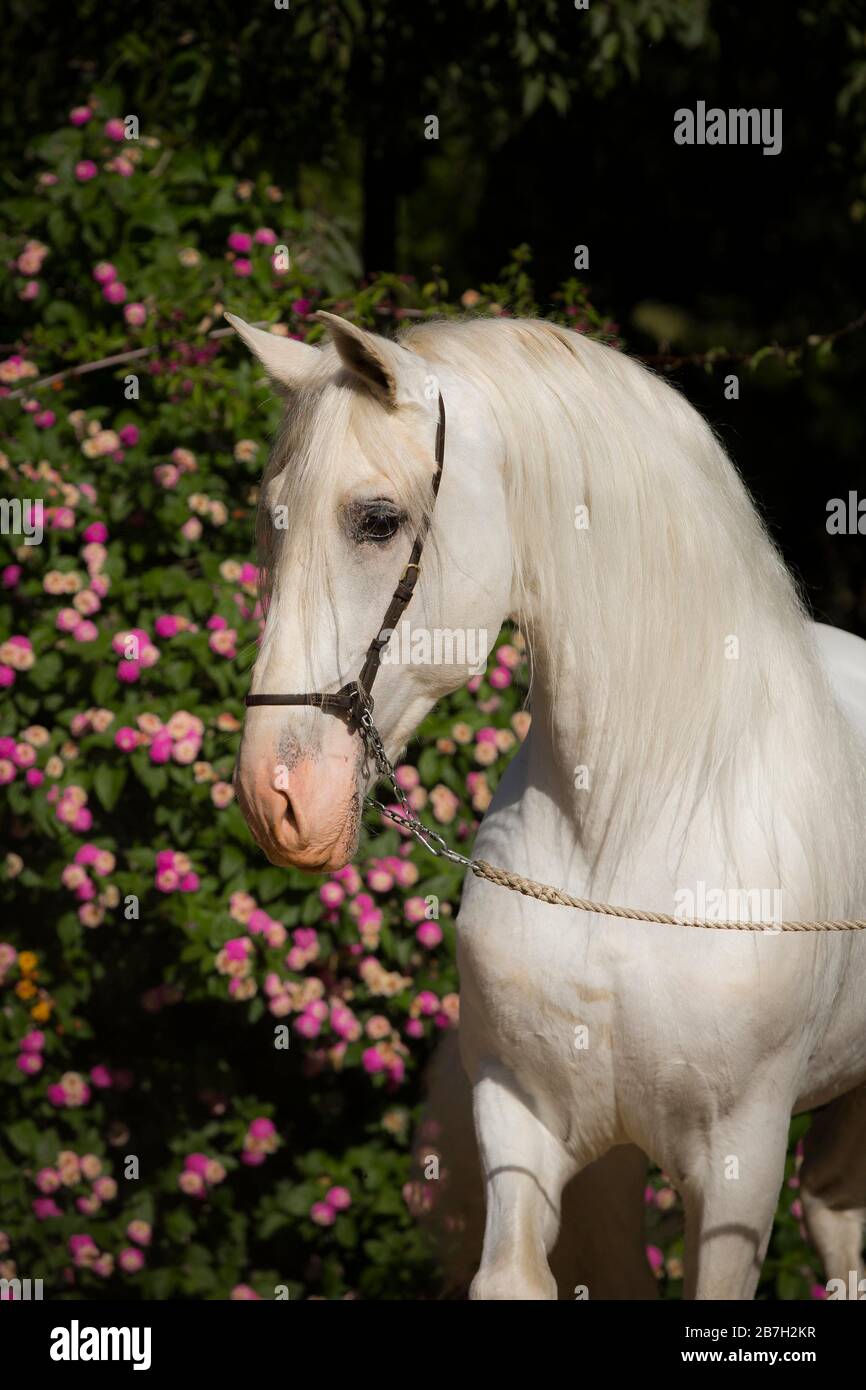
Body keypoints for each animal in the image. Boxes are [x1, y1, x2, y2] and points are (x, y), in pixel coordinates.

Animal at [230, 308, 866, 1300]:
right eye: (271, 521)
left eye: (377, 520)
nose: (278, 797)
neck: (630, 830)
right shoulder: (529, 1122)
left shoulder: (740, 1164)